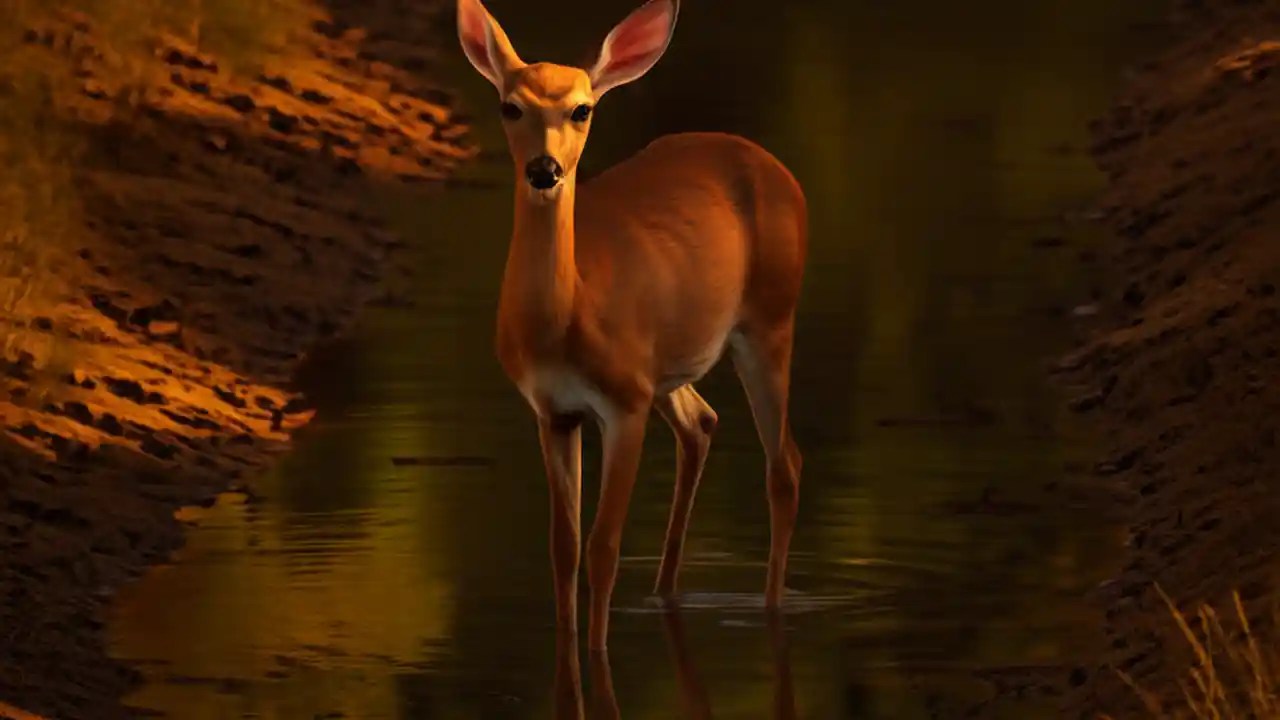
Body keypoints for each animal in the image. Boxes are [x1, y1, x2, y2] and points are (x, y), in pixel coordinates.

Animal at [456, 0, 807, 650]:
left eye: (582, 108)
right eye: (509, 106)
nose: (544, 169)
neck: (565, 319)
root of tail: (772, 163)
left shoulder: (624, 404)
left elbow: (603, 547)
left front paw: (597, 650)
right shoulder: (555, 410)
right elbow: (564, 548)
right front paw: (570, 647)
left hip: (771, 319)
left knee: (784, 466)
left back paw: (771, 609)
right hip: (667, 367)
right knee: (702, 424)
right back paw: (666, 593)